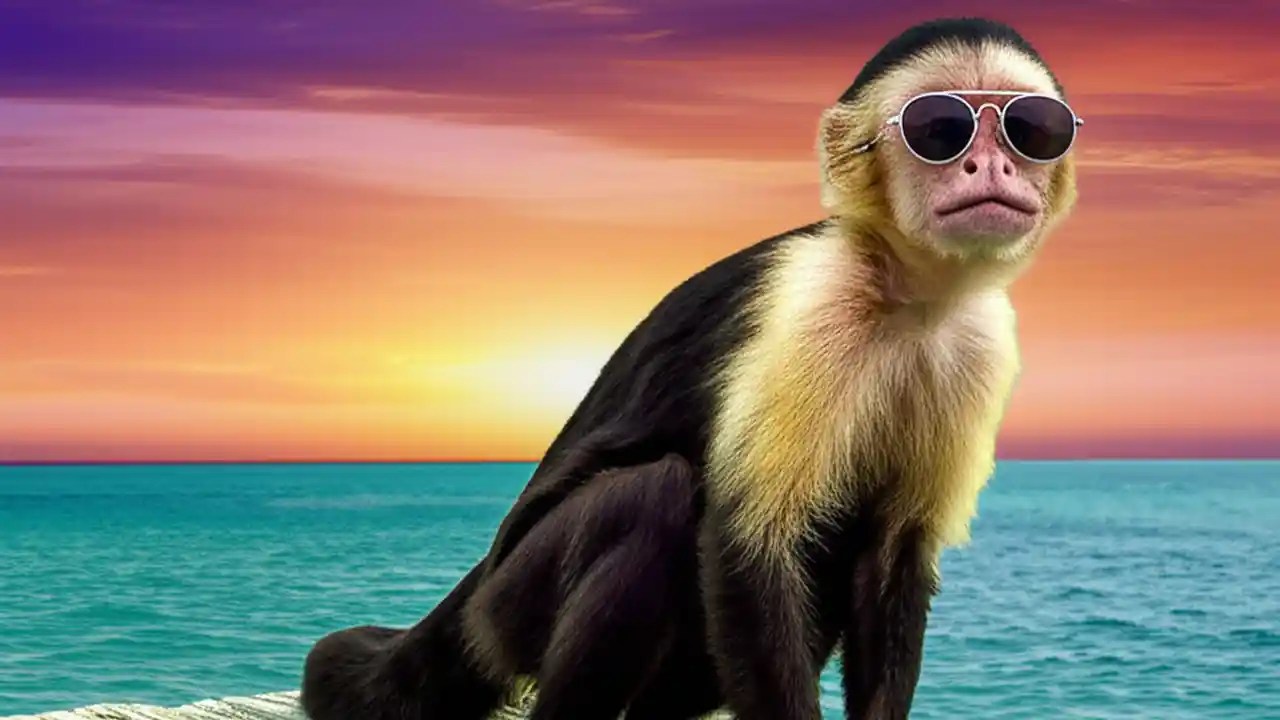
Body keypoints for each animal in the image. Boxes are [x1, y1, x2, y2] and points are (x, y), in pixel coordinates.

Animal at [299, 16, 1081, 720]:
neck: (904, 292)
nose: (991, 164)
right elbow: (749, 548)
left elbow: (893, 553)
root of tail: (478, 589)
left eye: (1031, 132)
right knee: (654, 499)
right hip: (510, 609)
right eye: (941, 130)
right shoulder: (809, 305)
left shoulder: (980, 342)